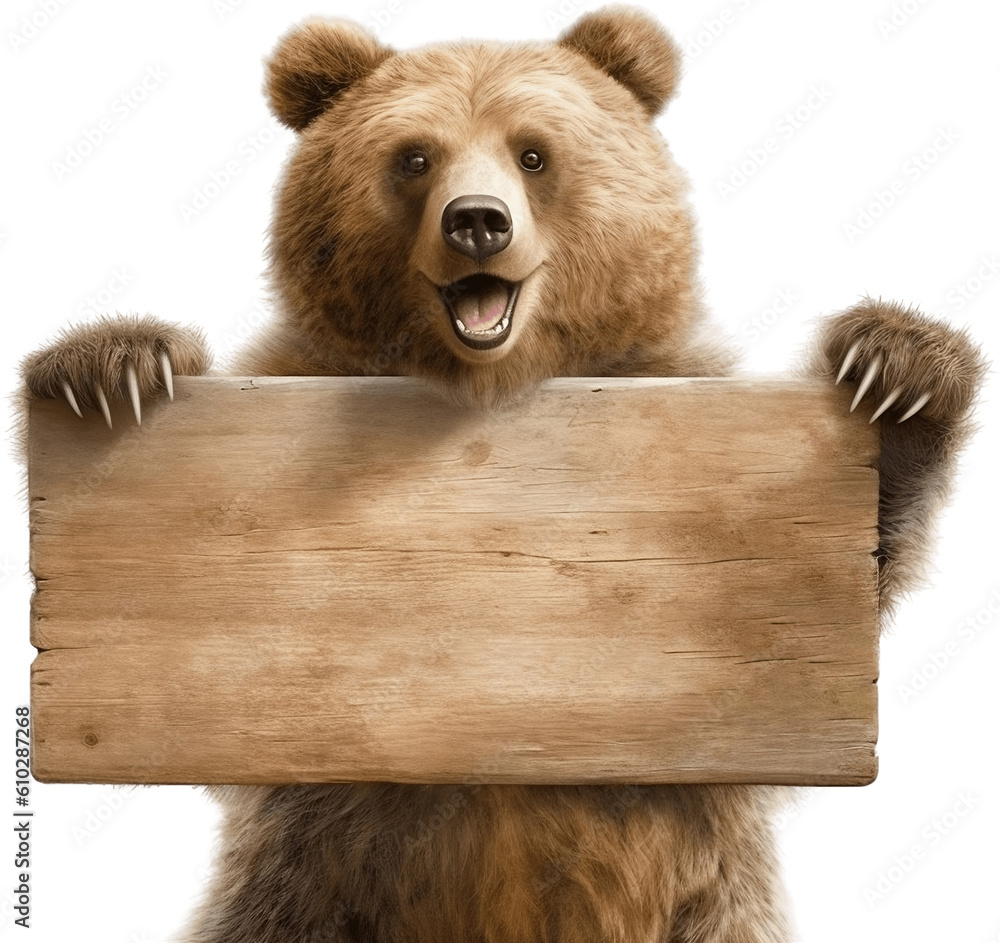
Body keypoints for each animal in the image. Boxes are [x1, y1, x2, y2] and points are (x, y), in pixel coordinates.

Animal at [20, 8, 985, 943]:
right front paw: (113, 366)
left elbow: (853, 563)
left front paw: (896, 368)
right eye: (414, 156)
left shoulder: (670, 383)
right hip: (298, 896)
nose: (477, 220)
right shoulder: (299, 372)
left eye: (533, 153)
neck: (488, 386)